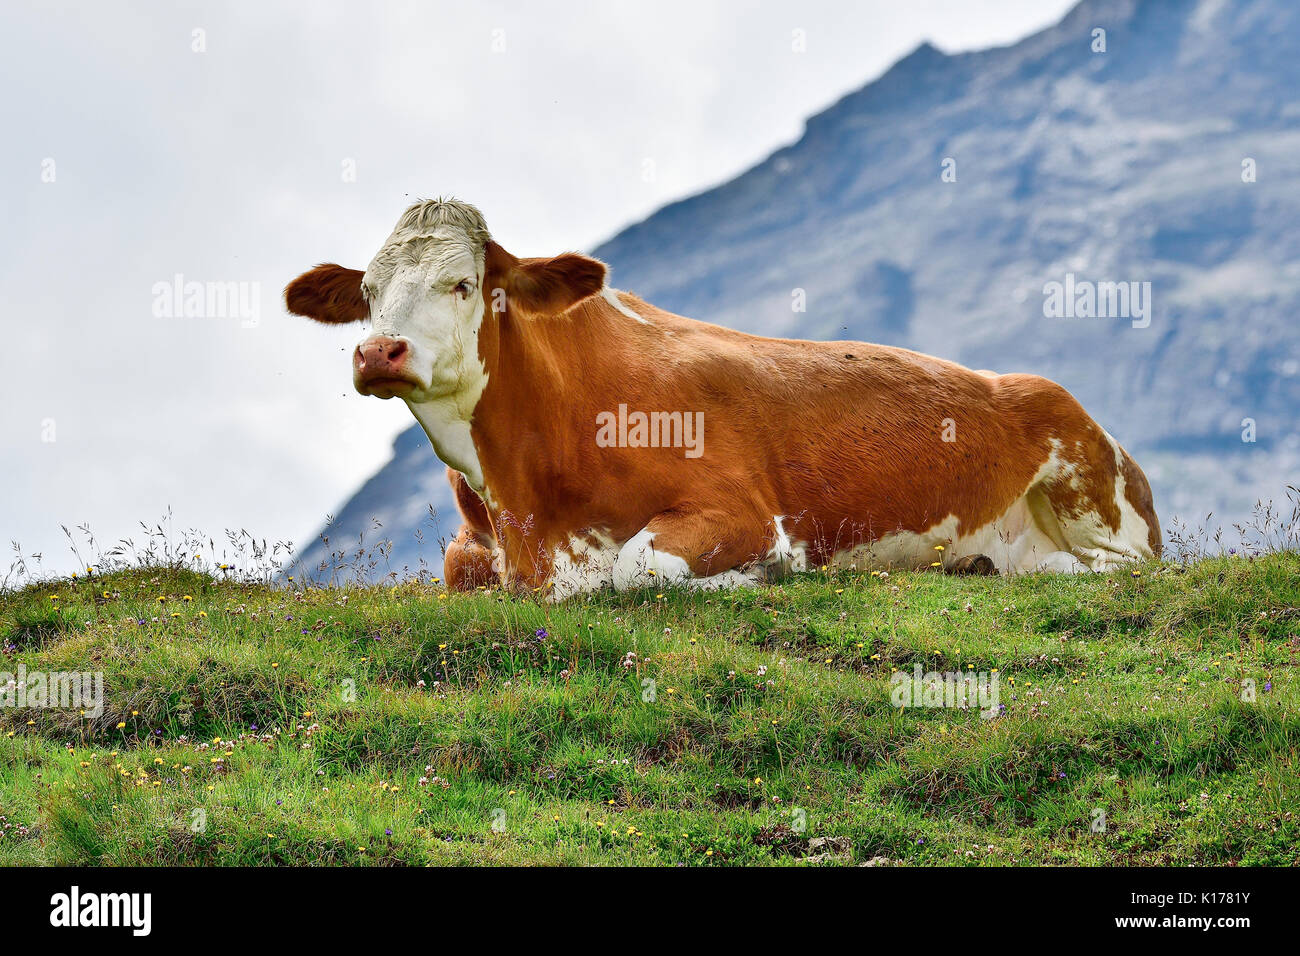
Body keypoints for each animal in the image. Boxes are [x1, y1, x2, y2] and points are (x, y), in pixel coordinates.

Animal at [286, 199, 1160, 599]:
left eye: (462, 284)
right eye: (367, 295)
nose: (378, 353)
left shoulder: (740, 508)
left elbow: (638, 566)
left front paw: (764, 574)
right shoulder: (480, 545)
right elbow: (460, 568)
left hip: (1091, 487)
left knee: (1104, 567)